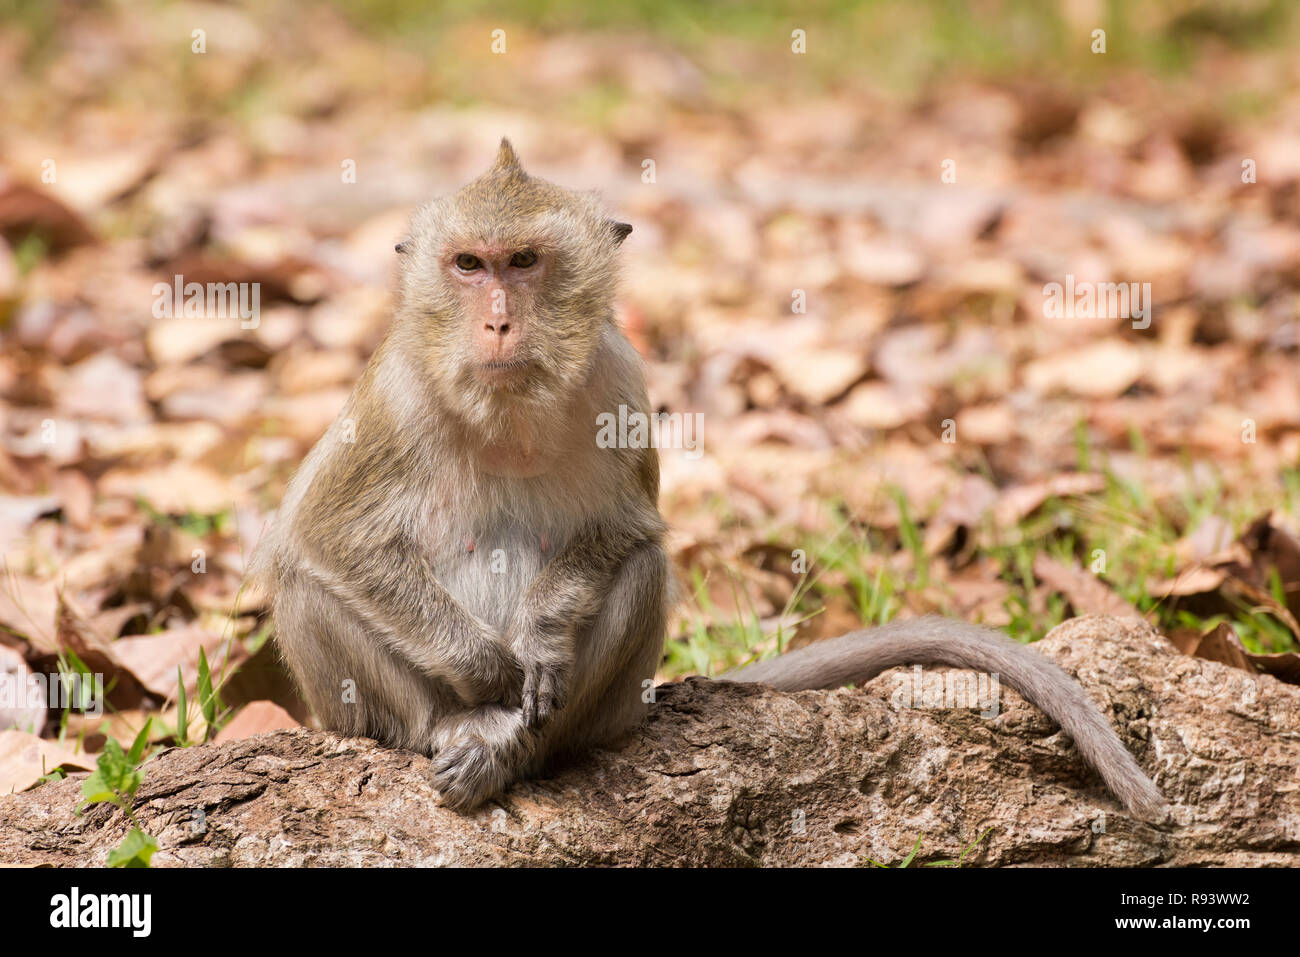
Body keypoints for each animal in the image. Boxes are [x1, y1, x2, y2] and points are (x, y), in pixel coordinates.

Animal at [250, 139, 1167, 822]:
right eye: (469, 265)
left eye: (525, 262)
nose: (499, 322)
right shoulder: (397, 394)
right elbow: (326, 532)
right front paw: (488, 671)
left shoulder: (620, 382)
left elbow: (626, 529)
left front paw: (539, 639)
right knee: (311, 583)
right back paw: (461, 721)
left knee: (640, 571)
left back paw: (517, 747)